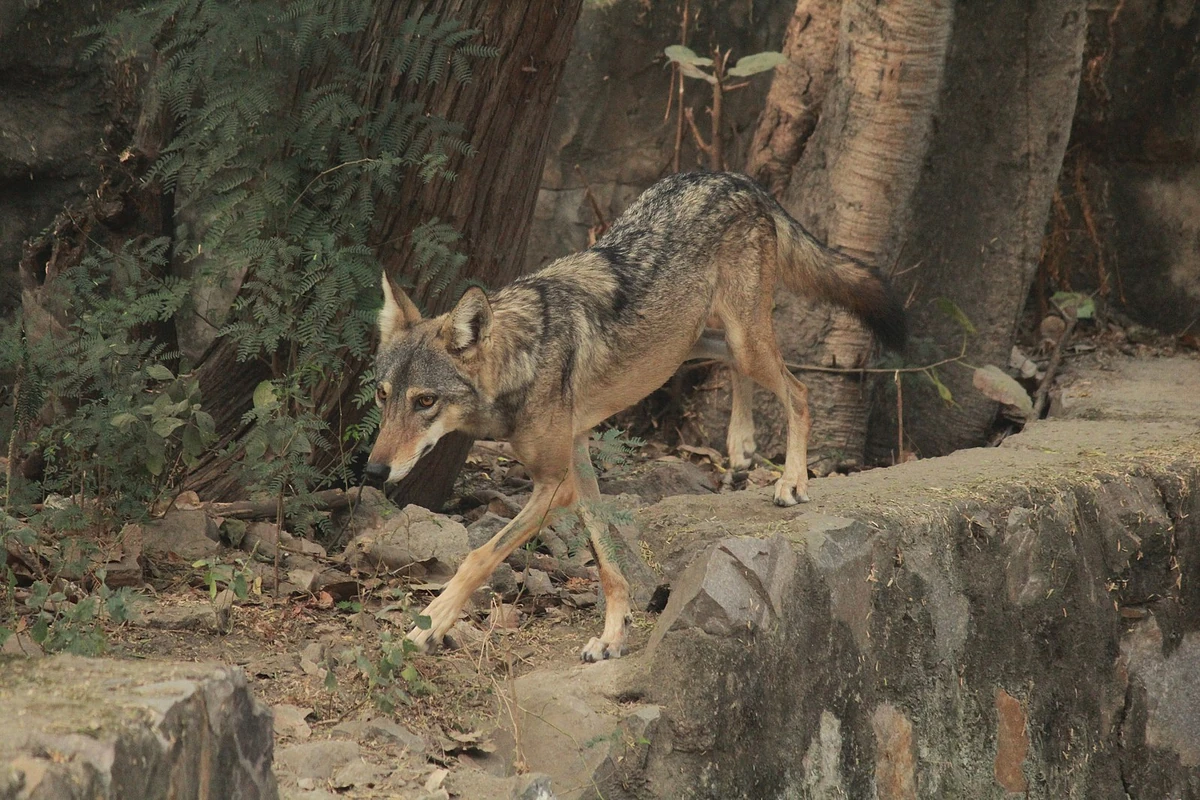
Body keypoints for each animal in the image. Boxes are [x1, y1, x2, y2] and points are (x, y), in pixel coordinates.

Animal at [366, 171, 905, 662]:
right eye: (381, 395)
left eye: (425, 401)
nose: (372, 470)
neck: (525, 355)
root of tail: (736, 178)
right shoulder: (577, 461)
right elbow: (606, 559)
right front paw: (612, 635)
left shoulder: (555, 483)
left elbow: (480, 554)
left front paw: (429, 623)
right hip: (698, 343)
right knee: (735, 366)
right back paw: (740, 447)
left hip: (742, 339)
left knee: (798, 389)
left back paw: (791, 480)